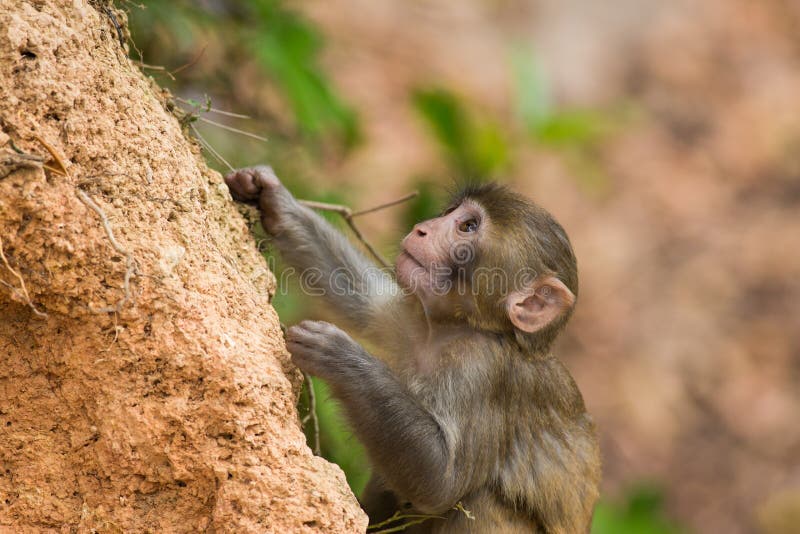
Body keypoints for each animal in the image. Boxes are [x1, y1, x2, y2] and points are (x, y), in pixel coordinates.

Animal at [225, 166, 601, 533]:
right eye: (451, 212)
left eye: (468, 226)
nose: (423, 229)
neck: (452, 330)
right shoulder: (414, 322)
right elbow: (364, 300)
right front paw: (272, 197)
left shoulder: (485, 372)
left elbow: (441, 481)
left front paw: (341, 357)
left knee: (478, 501)